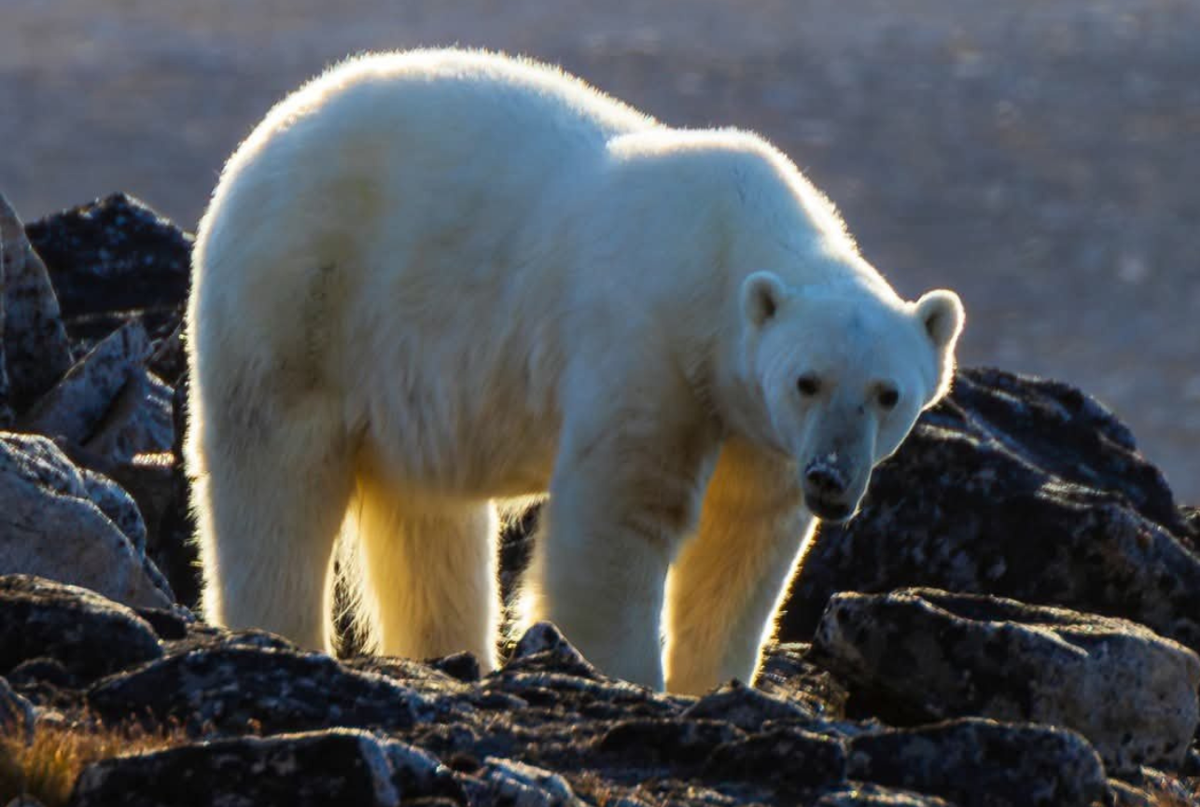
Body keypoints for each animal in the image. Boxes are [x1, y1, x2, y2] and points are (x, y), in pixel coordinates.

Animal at [185, 48, 964, 695]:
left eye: (887, 393)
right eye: (808, 380)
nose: (830, 477)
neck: (723, 246)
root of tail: (266, 136)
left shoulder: (759, 430)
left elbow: (744, 542)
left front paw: (714, 683)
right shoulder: (653, 348)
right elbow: (621, 513)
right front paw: (628, 674)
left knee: (430, 520)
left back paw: (451, 651)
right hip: (301, 298)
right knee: (276, 477)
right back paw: (281, 632)